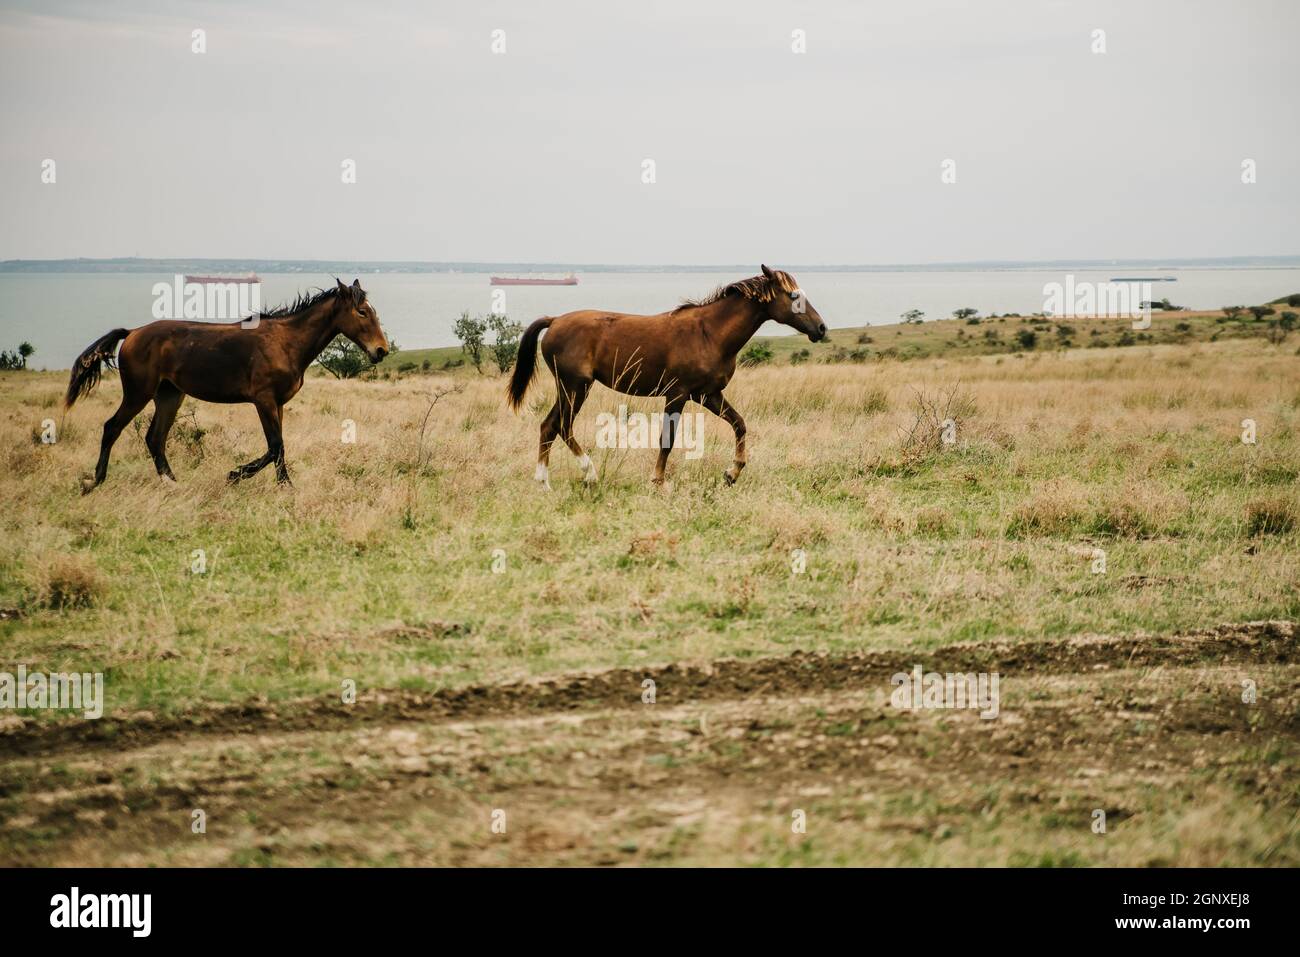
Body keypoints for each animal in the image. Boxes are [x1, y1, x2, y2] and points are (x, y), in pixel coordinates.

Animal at [64, 278, 389, 492]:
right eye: (361, 312)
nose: (381, 351)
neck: (286, 342)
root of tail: (132, 333)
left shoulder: (278, 404)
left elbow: (278, 447)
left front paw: (279, 484)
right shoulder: (264, 400)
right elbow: (275, 445)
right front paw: (243, 476)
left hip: (170, 396)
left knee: (155, 438)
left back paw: (172, 483)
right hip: (138, 393)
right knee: (113, 428)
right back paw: (94, 481)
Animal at [507, 265, 826, 487]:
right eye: (794, 296)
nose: (821, 328)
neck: (709, 333)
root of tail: (555, 321)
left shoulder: (708, 395)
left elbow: (740, 424)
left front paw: (732, 473)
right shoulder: (678, 394)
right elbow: (667, 439)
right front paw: (657, 481)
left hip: (570, 388)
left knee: (549, 427)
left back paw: (545, 483)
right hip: (575, 387)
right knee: (560, 426)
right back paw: (590, 474)